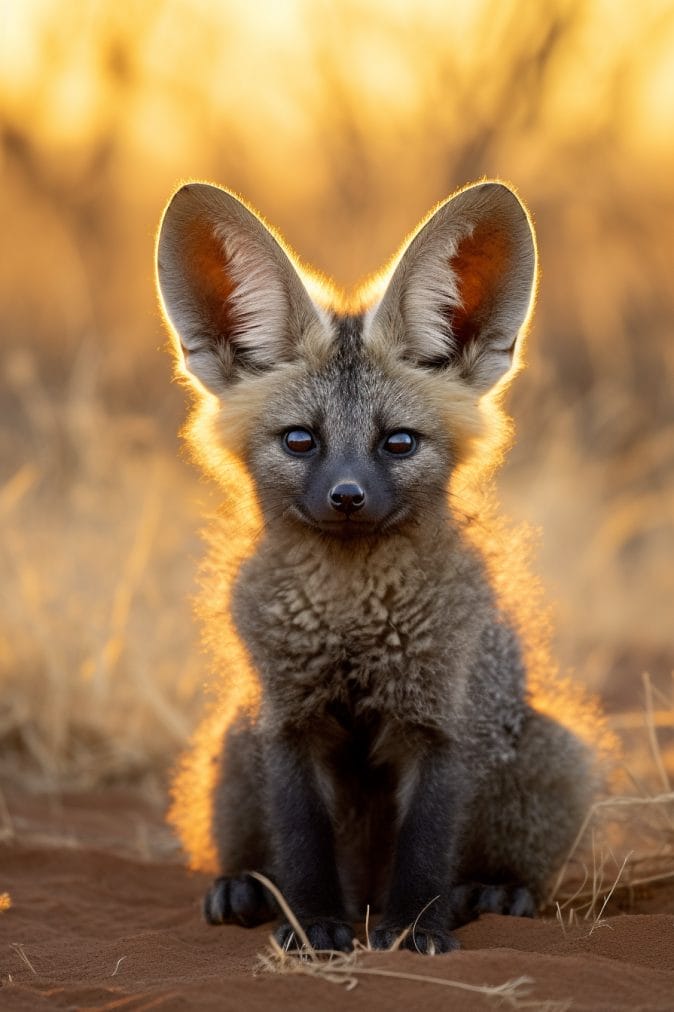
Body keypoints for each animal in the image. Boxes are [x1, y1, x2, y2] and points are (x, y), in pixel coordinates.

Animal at [156, 180, 598, 955]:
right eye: (300, 441)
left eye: (398, 442)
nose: (347, 497)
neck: (352, 619)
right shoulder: (289, 721)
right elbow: (302, 846)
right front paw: (313, 929)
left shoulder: (441, 718)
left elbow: (426, 848)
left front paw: (414, 933)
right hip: (233, 743)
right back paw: (247, 889)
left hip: (551, 753)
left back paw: (491, 891)